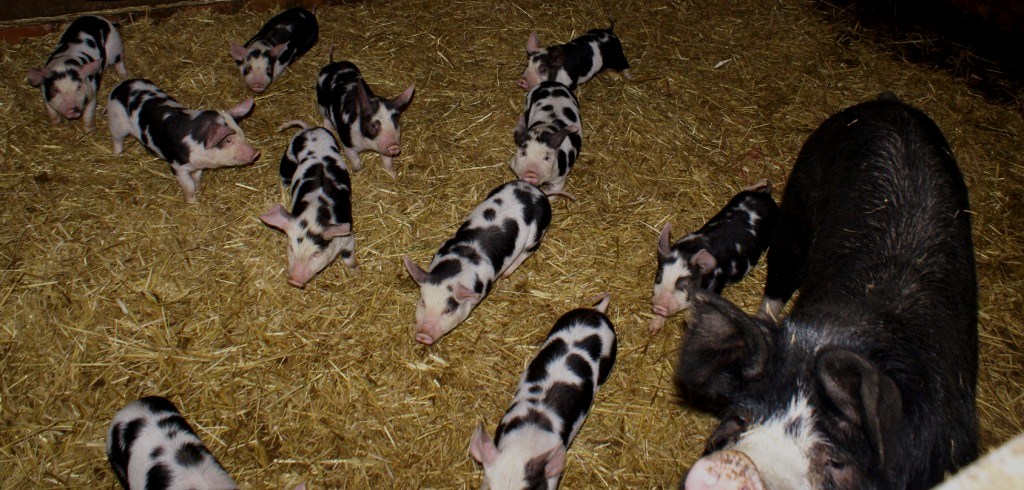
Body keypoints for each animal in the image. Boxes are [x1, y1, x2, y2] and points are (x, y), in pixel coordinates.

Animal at [107, 79, 260, 203]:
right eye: (228, 140)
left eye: (241, 133)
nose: (255, 153)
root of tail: (122, 85)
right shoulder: (178, 166)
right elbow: (188, 186)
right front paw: (192, 203)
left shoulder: (198, 166)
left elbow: (197, 178)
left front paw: (199, 189)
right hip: (116, 122)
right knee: (116, 139)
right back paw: (118, 155)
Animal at [261, 120, 356, 288]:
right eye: (291, 248)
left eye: (316, 253)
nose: (294, 280)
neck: (313, 215)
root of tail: (309, 129)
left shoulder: (347, 238)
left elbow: (349, 259)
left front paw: (356, 275)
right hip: (288, 160)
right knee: (283, 180)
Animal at [402, 180, 552, 345]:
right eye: (422, 302)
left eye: (448, 310)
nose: (423, 335)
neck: (458, 265)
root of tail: (536, 190)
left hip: (537, 233)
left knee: (530, 249)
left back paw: (506, 273)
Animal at [648, 180, 778, 334]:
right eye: (658, 277)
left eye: (685, 284)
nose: (659, 306)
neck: (689, 250)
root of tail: (766, 195)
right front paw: (653, 328)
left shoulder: (716, 284)